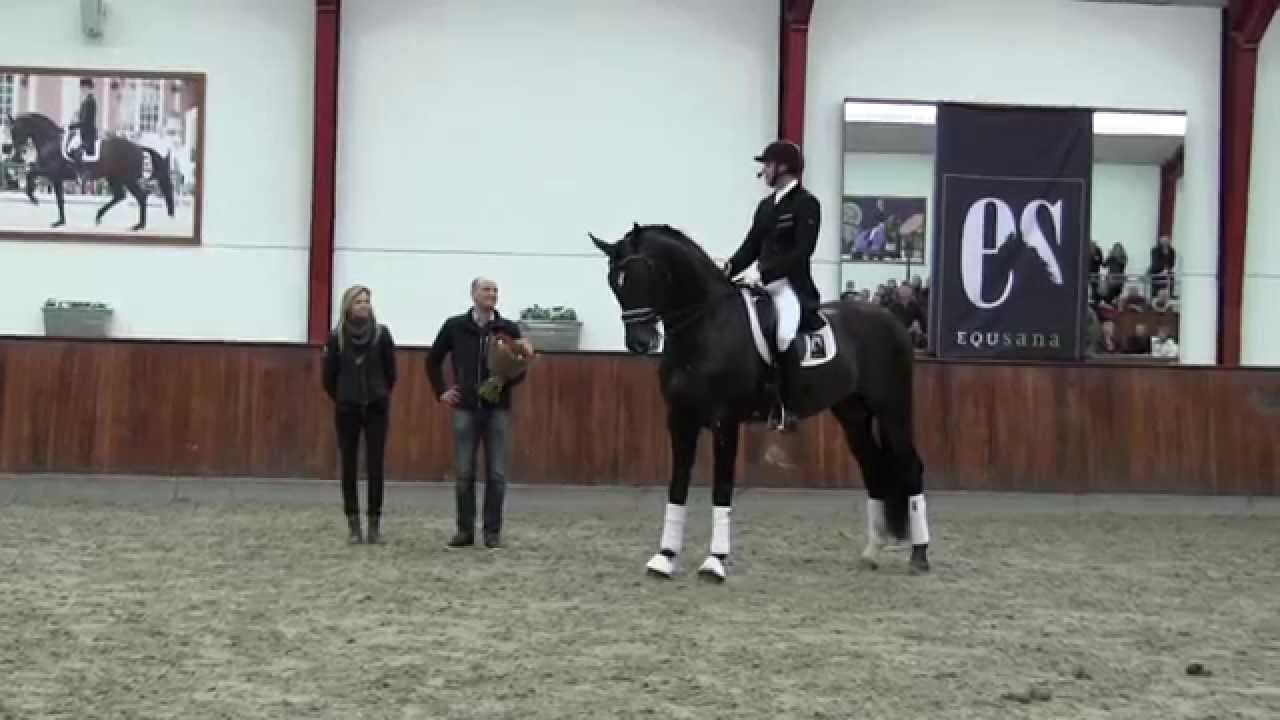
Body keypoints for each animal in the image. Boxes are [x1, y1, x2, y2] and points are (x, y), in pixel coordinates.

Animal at [4, 112, 175, 231]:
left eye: (16, 131)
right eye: (12, 132)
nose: (16, 156)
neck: (51, 141)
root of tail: (138, 147)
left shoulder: (50, 172)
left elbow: (30, 174)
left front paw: (34, 199)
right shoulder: (57, 178)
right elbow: (60, 199)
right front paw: (60, 222)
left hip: (128, 179)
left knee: (141, 196)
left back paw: (138, 226)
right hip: (114, 177)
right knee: (120, 196)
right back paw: (100, 217)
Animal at [590, 223, 931, 581]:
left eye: (644, 274)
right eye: (614, 281)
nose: (640, 342)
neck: (707, 326)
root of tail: (890, 319)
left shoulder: (725, 422)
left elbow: (722, 487)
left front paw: (715, 561)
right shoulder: (680, 420)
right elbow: (677, 485)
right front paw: (665, 558)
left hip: (892, 409)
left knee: (910, 466)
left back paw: (919, 556)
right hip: (852, 413)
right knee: (872, 468)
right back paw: (872, 552)